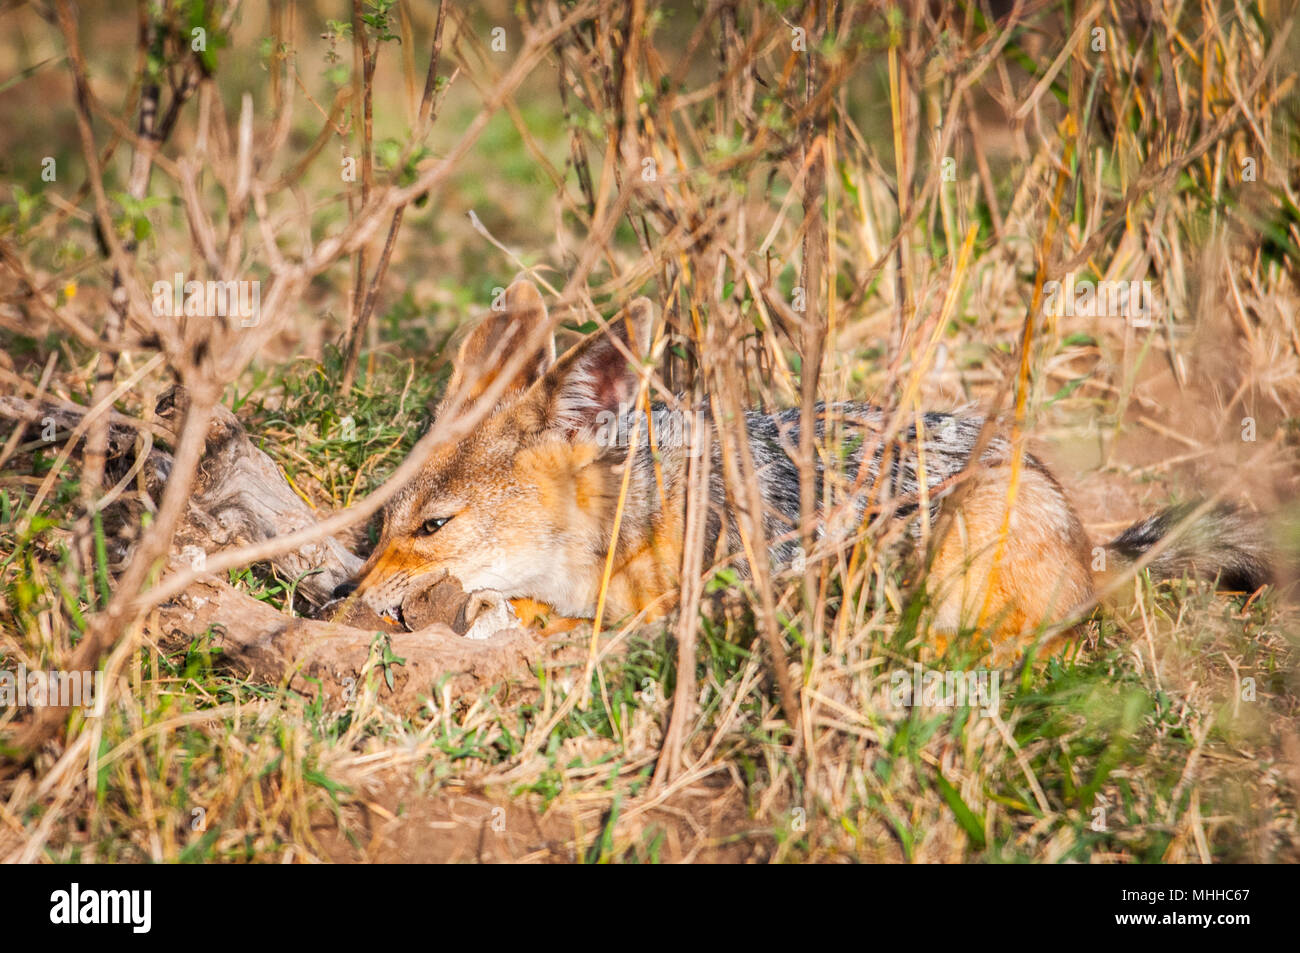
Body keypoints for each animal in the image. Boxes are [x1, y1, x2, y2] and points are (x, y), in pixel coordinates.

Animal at [337, 278, 1271, 657]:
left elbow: (575, 615)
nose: (341, 603)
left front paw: (518, 612)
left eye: (433, 526)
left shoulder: (676, 600)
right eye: (381, 523)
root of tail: (1088, 538)